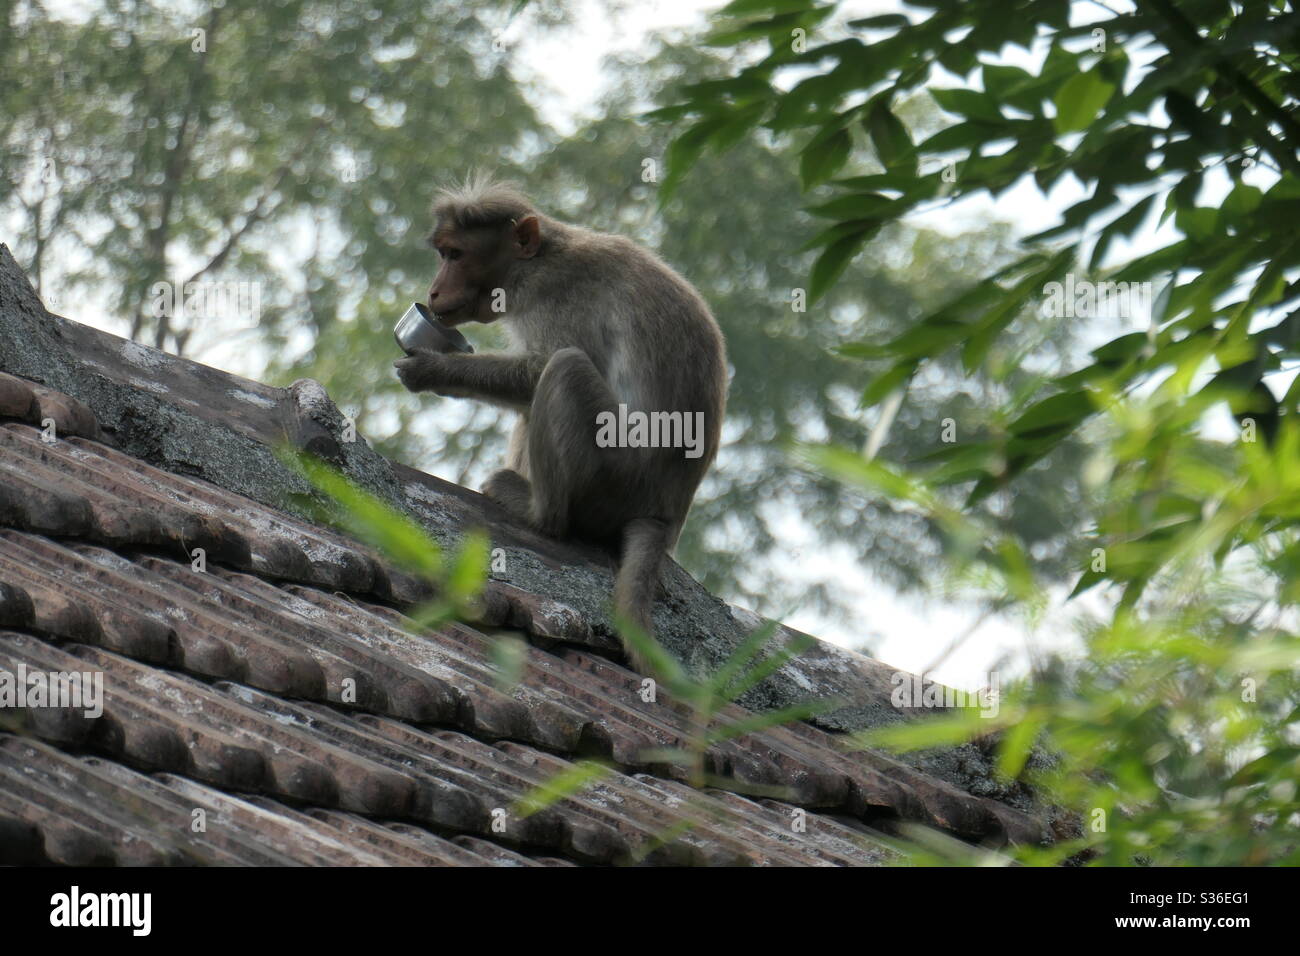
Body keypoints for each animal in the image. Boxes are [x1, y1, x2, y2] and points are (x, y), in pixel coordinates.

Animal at [394, 175, 727, 671]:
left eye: (455, 254)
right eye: (442, 253)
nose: (434, 292)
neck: (538, 260)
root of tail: (664, 514)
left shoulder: (557, 296)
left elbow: (539, 368)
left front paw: (434, 368)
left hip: (616, 476)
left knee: (565, 369)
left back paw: (538, 512)